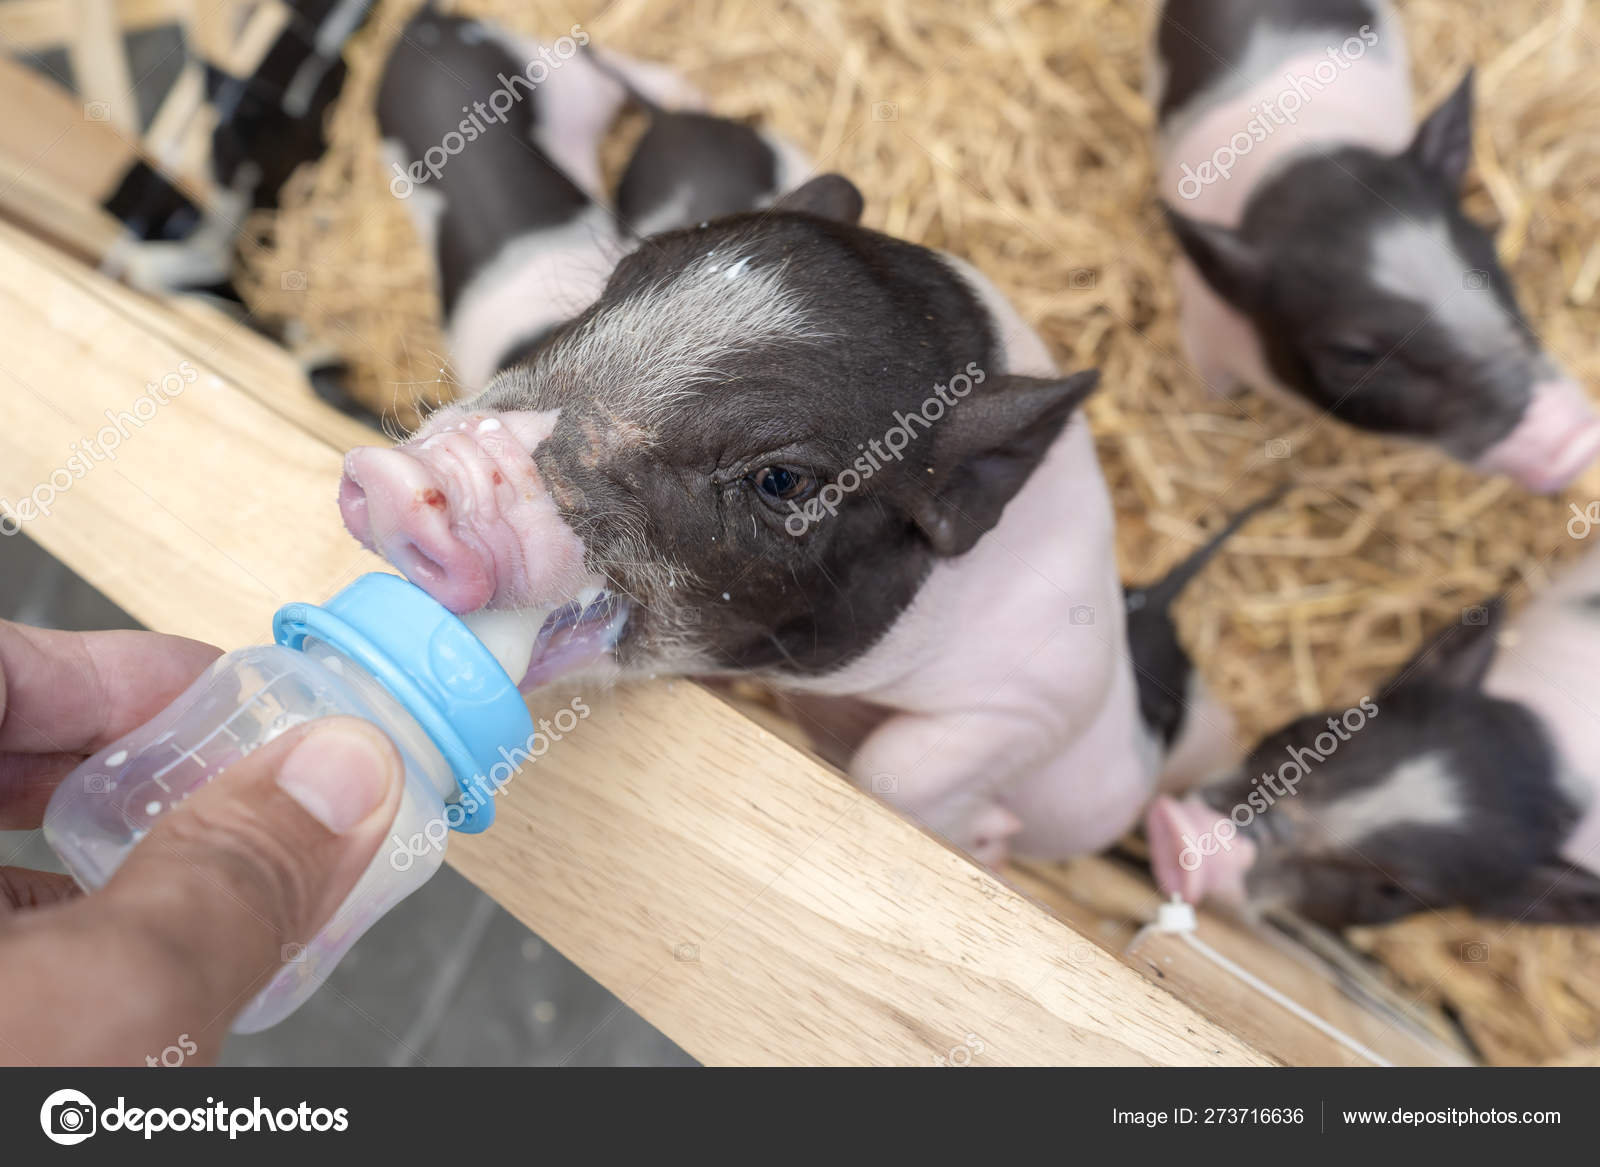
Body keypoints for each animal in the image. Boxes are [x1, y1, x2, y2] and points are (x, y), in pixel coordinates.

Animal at [339, 173, 1169, 866]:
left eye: (782, 480)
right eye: (611, 290)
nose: (400, 480)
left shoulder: (1045, 697)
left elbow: (891, 765)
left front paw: (990, 842)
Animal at [1154, 0, 1600, 492]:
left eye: (1489, 258)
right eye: (1354, 354)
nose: (1577, 441)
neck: (1302, 161)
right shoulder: (1199, 314)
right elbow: (1210, 389)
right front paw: (1207, 408)